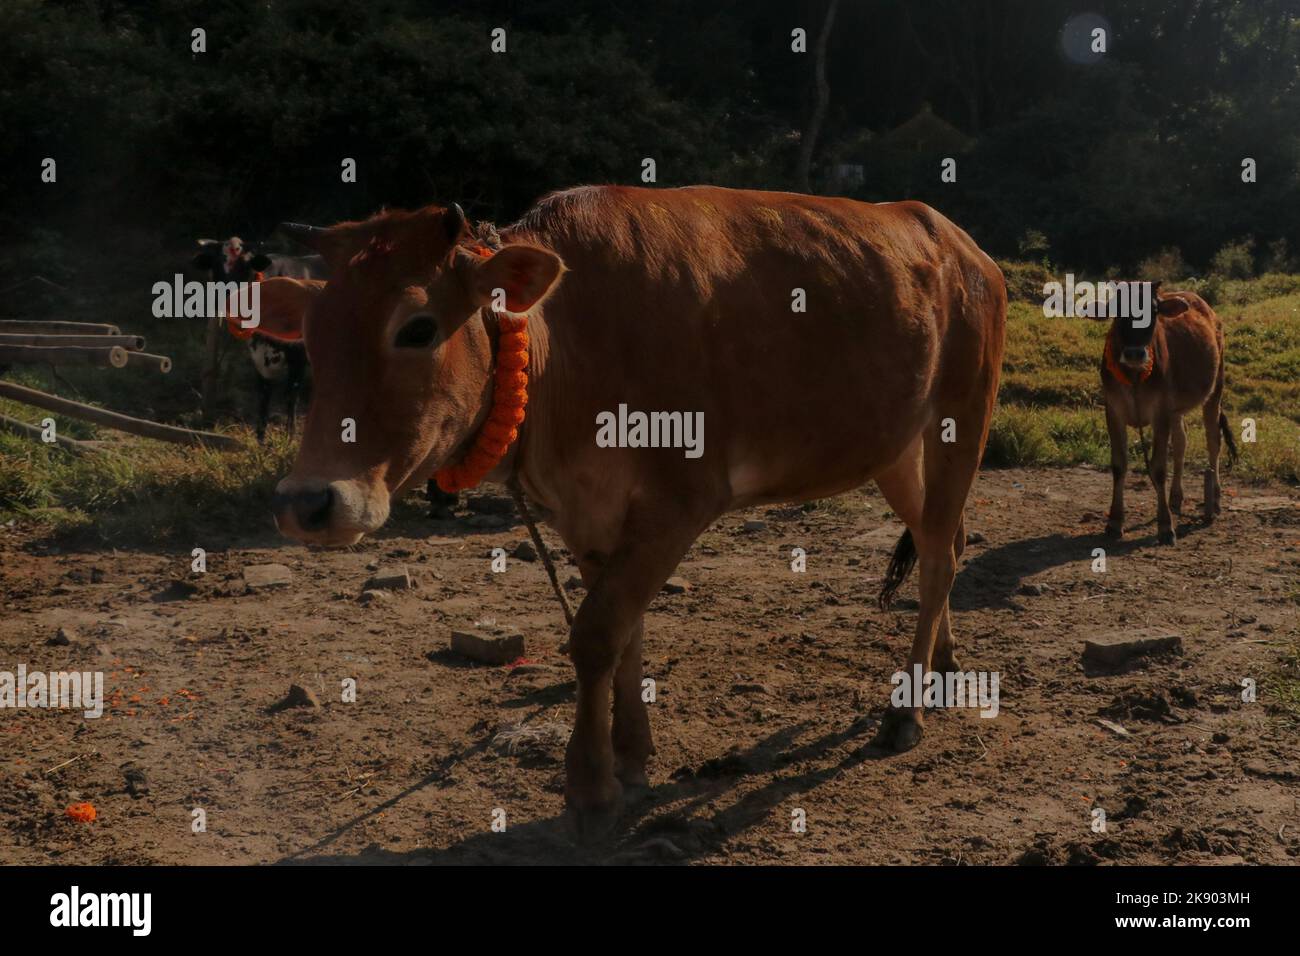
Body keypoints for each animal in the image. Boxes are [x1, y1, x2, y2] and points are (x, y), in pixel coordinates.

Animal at [192, 237, 327, 441]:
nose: (225, 300)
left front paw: (289, 436)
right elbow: (264, 394)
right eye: (215, 265)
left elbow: (291, 394)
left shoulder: (298, 354)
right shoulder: (258, 353)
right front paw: (260, 438)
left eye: (245, 266)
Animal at [254, 186, 1007, 835]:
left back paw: (905, 712)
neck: (569, 341)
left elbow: (594, 635)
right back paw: (942, 663)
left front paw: (589, 789)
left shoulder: (681, 501)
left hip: (962, 418)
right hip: (893, 446)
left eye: (417, 328)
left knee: (939, 559)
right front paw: (631, 755)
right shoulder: (586, 513)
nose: (305, 502)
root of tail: (960, 243)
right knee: (944, 539)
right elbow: (622, 633)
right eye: (311, 336)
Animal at [1099, 283, 1236, 545]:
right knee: (1181, 441)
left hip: (1215, 389)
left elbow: (1159, 468)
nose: (1135, 354)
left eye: (1153, 311)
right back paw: (1175, 497)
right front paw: (1114, 522)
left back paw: (1215, 498)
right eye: (1117, 312)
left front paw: (1165, 526)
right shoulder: (1113, 409)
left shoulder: (1160, 412)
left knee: (1213, 442)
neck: (1134, 375)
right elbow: (1119, 465)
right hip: (1176, 410)